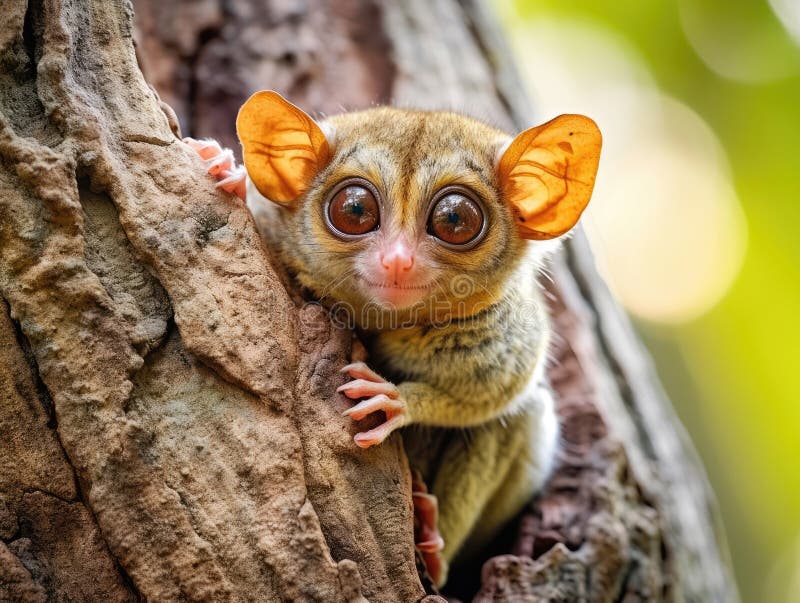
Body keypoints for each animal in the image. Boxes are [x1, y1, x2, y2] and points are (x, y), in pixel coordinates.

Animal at [184, 90, 601, 586]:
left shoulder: (504, 328)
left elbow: (493, 393)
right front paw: (228, 171)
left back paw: (432, 542)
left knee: (520, 417)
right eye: (355, 210)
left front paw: (393, 401)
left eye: (455, 219)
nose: (397, 261)